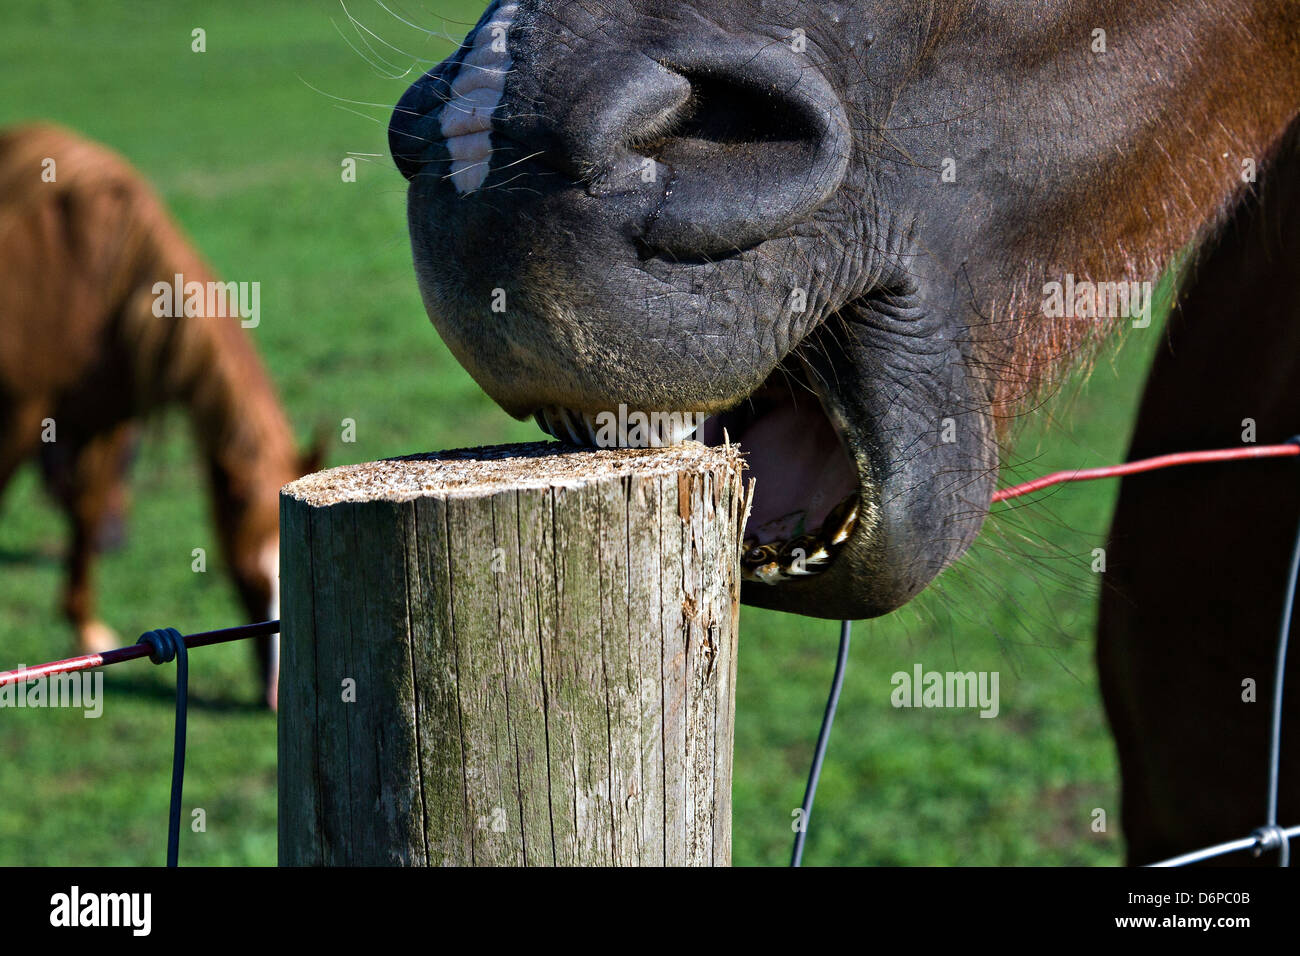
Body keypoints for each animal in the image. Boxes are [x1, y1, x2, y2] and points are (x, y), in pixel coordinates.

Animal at [0, 122, 318, 709]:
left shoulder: (105, 417)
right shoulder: (19, 413)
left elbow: (88, 509)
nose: (273, 694)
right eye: (245, 577)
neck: (103, 274)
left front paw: (84, 623)